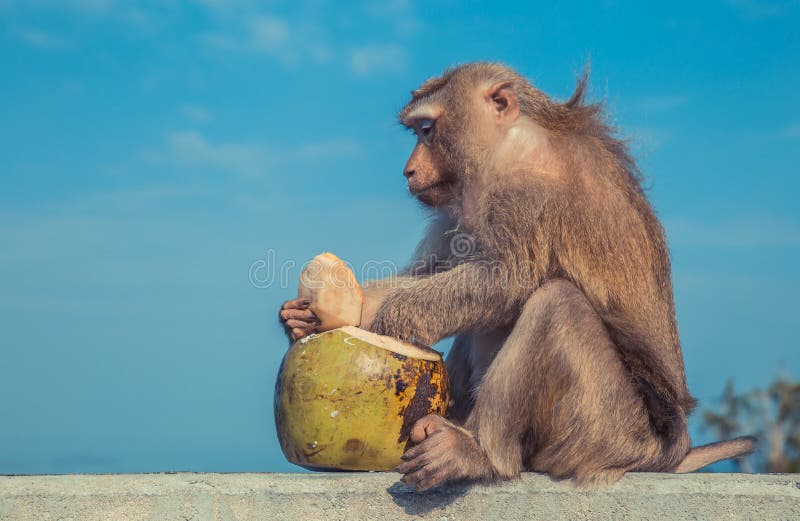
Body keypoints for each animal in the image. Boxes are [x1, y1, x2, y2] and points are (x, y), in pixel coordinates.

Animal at [280, 62, 755, 490]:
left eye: (427, 130)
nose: (409, 170)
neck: (509, 142)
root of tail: (666, 451)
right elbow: (436, 271)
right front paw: (306, 317)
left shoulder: (526, 190)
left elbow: (505, 280)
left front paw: (386, 319)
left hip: (609, 432)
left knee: (557, 303)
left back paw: (478, 452)